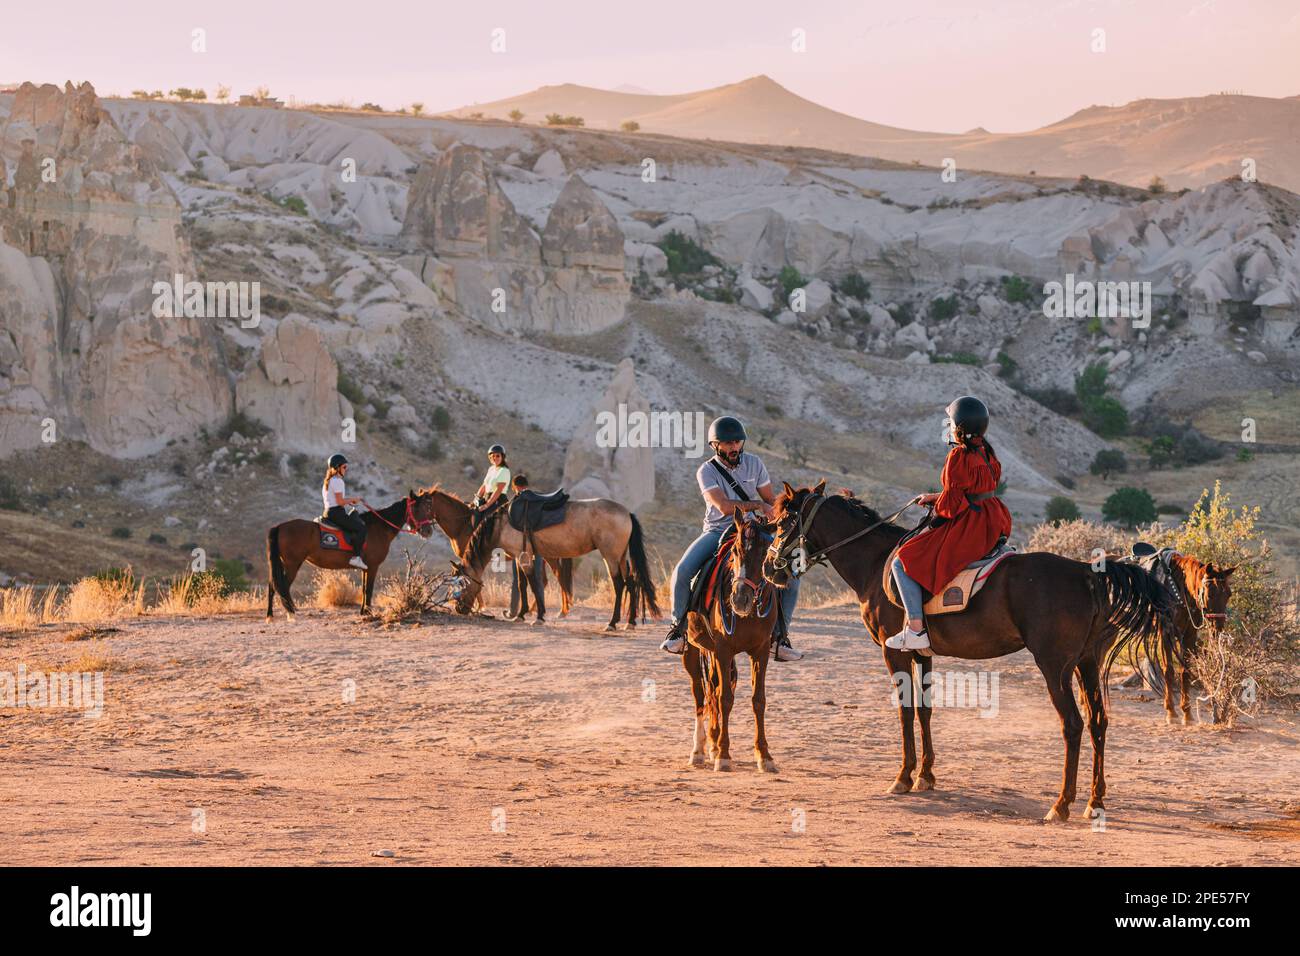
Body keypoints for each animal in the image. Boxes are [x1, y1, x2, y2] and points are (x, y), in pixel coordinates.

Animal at [265, 488, 437, 619]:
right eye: (418, 509)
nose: (428, 531)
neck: (378, 528)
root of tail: (280, 526)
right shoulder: (373, 566)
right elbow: (369, 589)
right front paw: (368, 612)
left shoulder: (366, 567)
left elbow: (364, 589)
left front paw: (363, 612)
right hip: (292, 563)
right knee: (282, 585)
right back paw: (290, 612)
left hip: (284, 563)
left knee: (273, 585)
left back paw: (271, 615)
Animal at [426, 488, 659, 630]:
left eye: (460, 584)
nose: (459, 608)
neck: (501, 524)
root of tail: (627, 513)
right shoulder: (519, 558)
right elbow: (523, 585)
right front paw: (520, 614)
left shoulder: (524, 557)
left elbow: (532, 583)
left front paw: (538, 617)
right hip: (620, 557)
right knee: (632, 583)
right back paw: (630, 621)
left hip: (610, 556)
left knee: (619, 584)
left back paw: (612, 622)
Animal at [683, 511, 781, 773]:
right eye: (735, 551)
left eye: (765, 550)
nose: (740, 599)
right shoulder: (723, 650)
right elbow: (725, 699)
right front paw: (724, 756)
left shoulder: (760, 652)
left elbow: (758, 700)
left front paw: (764, 756)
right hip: (692, 651)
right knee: (700, 694)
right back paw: (698, 750)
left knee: (713, 690)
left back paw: (713, 743)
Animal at [762, 481, 1178, 823]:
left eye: (783, 522)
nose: (770, 567)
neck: (876, 561)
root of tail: (1086, 572)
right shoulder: (922, 654)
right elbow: (925, 711)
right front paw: (926, 776)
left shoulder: (894, 654)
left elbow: (905, 711)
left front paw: (903, 777)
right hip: (1087, 663)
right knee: (1098, 722)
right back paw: (1095, 801)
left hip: (1056, 667)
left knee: (1073, 725)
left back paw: (1061, 805)